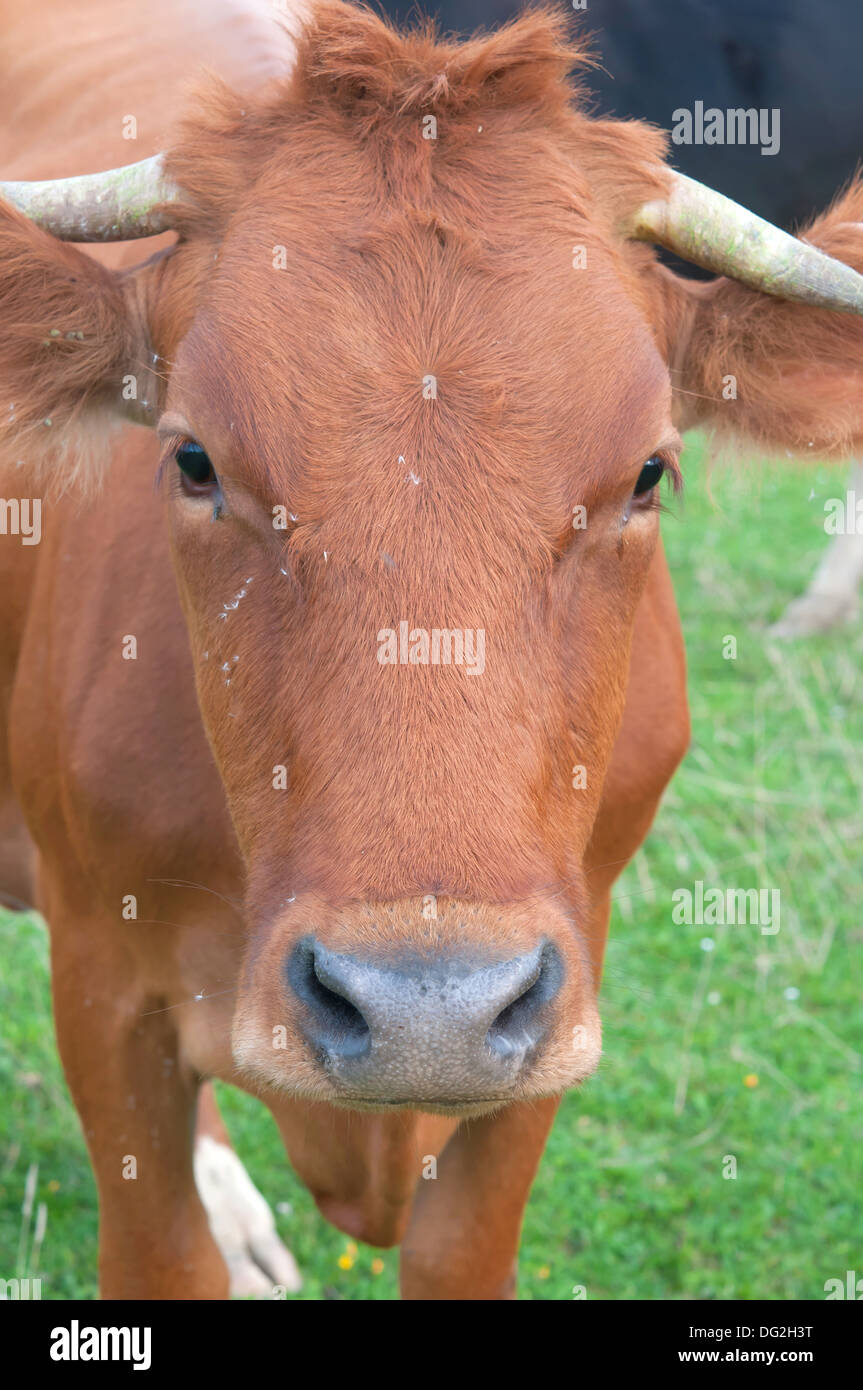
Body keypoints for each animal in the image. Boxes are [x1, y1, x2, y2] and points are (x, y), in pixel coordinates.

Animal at [2, 0, 863, 1300]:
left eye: (648, 472)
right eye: (192, 459)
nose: (426, 1009)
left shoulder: (563, 982)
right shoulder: (104, 982)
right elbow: (161, 1253)